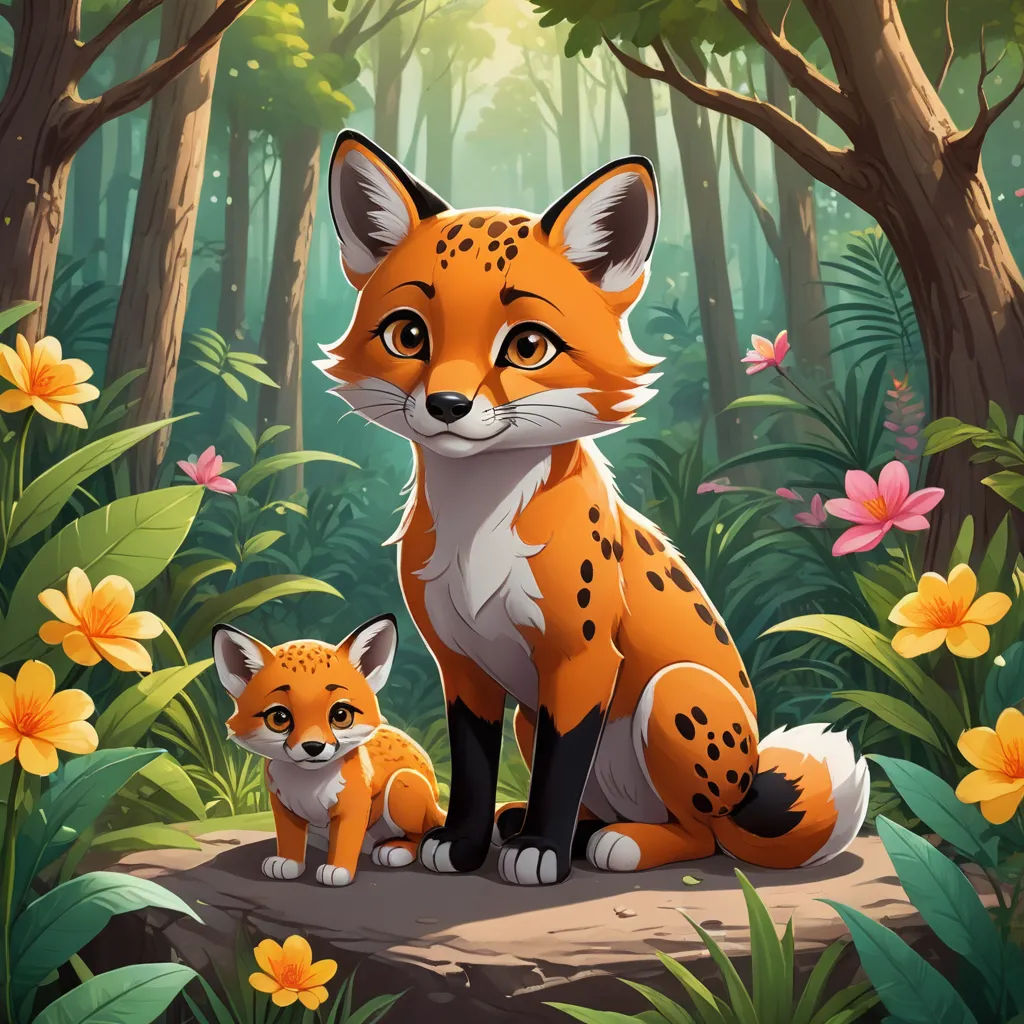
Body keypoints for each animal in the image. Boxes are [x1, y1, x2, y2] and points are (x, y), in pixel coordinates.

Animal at [212, 614, 444, 886]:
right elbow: (289, 839)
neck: (308, 786)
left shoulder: (353, 807)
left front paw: (338, 870)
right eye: (279, 718)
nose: (313, 747)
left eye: (341, 715)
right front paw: (288, 862)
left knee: (422, 833)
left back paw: (395, 849)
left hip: (401, 785)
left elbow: (344, 841)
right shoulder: (283, 807)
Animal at [316, 130, 870, 886]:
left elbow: (560, 765)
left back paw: (617, 842)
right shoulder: (462, 665)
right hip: (537, 716)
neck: (478, 532)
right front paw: (462, 845)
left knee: (702, 836)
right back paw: (559, 829)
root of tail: (749, 787)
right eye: (408, 335)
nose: (447, 406)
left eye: (527, 345)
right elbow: (474, 767)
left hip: (674, 695)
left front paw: (541, 853)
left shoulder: (581, 661)